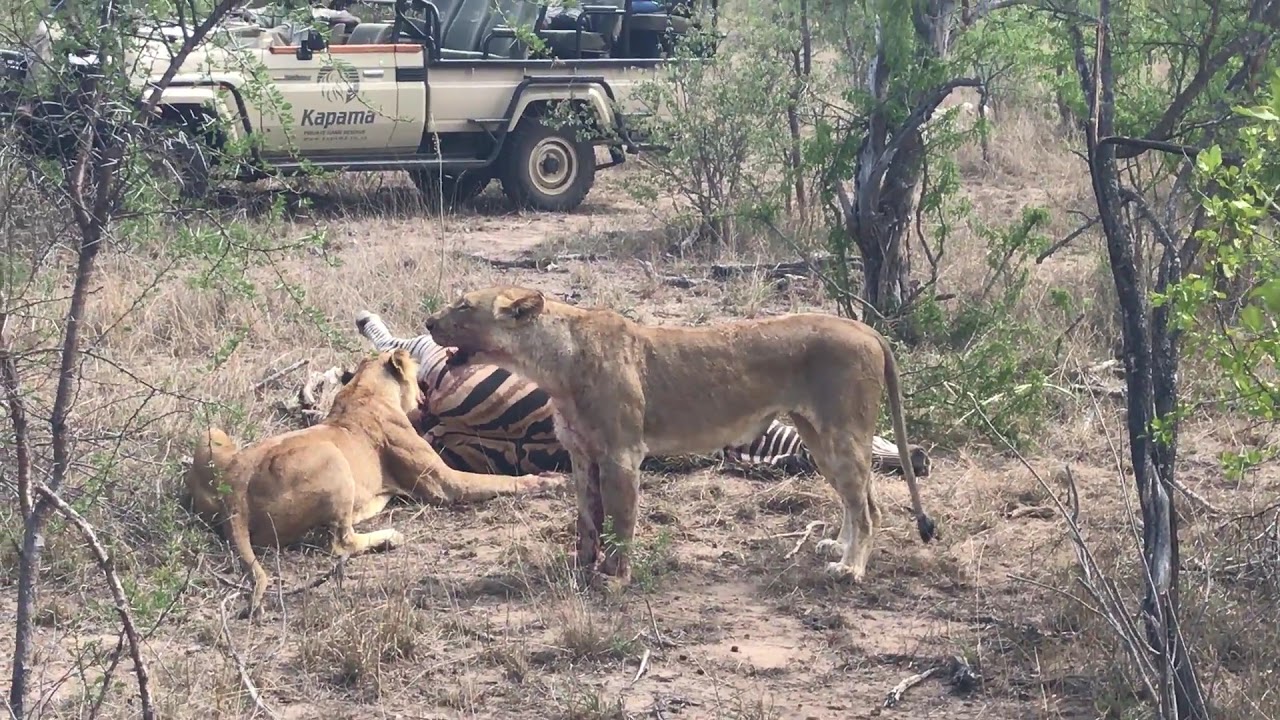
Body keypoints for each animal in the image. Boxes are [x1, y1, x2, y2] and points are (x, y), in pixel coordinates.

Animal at [183, 348, 563, 618]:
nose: (426, 388)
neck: (364, 389)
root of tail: (234, 493)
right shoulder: (444, 483)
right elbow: (500, 480)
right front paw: (546, 481)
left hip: (213, 434)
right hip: (332, 458)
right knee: (340, 543)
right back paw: (388, 537)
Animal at [423, 286, 936, 588]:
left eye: (463, 306)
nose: (427, 322)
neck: (552, 364)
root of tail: (863, 326)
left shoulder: (622, 454)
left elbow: (621, 521)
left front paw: (615, 579)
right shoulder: (581, 455)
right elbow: (586, 520)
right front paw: (579, 569)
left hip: (840, 432)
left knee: (867, 507)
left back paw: (850, 569)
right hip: (818, 437)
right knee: (860, 500)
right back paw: (838, 548)